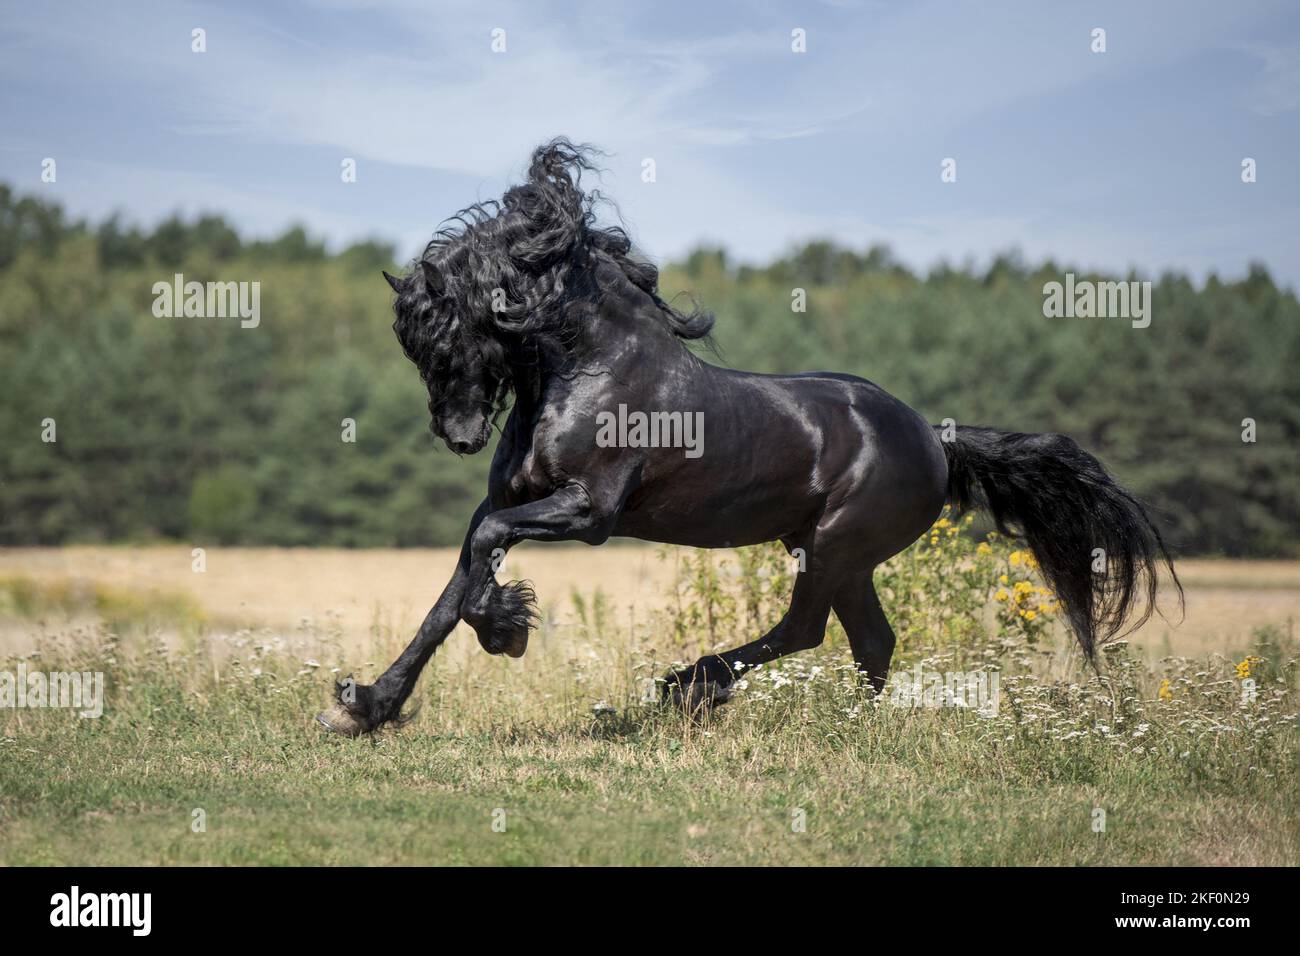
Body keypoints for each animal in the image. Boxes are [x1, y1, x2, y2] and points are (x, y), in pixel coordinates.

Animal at [316, 138, 1180, 736]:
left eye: (454, 330)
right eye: (413, 342)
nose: (460, 435)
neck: (589, 367)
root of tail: (936, 441)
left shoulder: (589, 512)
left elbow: (482, 560)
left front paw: (505, 628)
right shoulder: (509, 501)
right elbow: (453, 589)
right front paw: (367, 704)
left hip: (834, 545)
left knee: (809, 629)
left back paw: (689, 685)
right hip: (836, 553)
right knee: (870, 640)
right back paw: (844, 727)